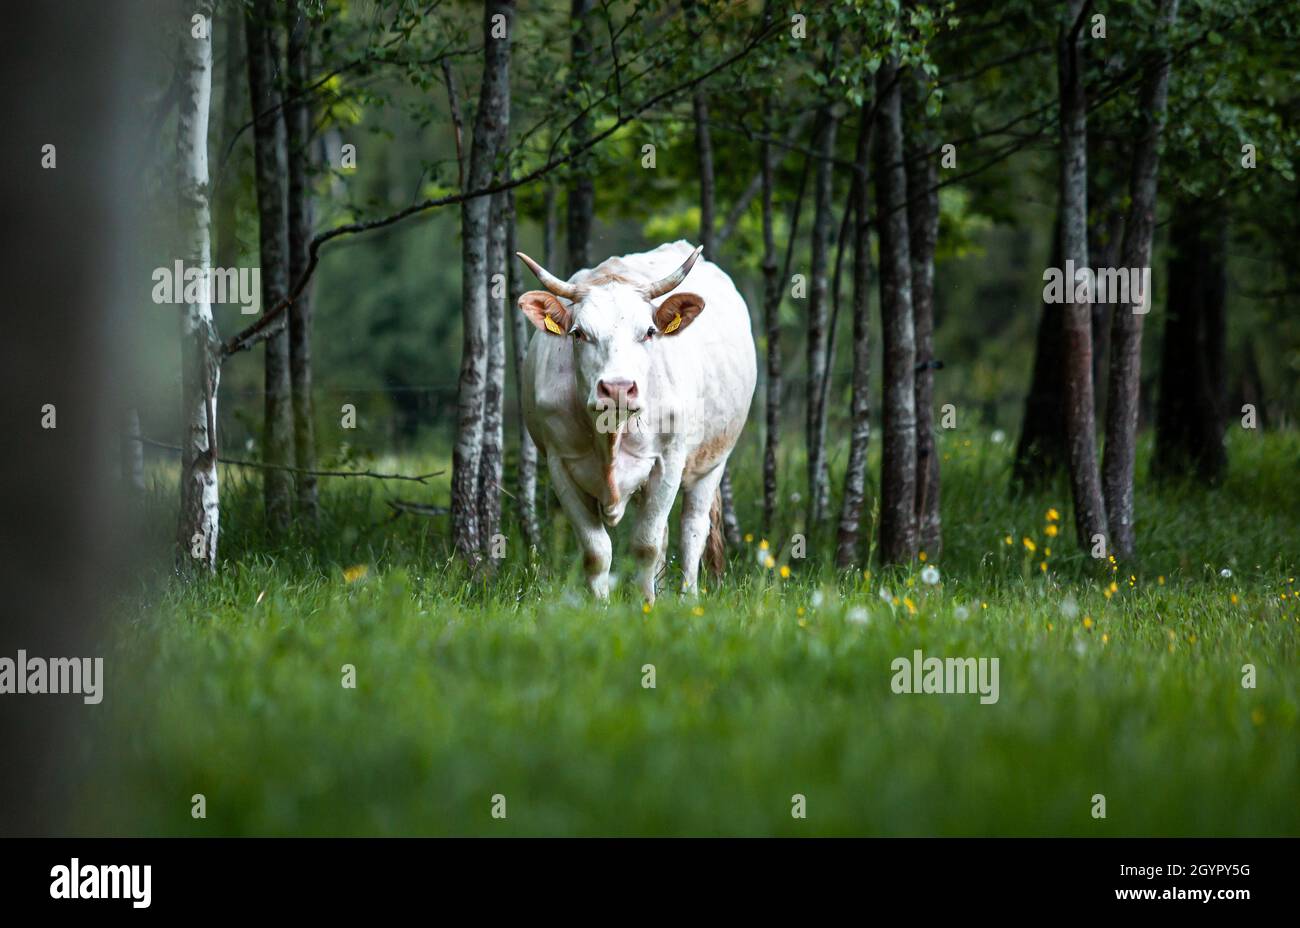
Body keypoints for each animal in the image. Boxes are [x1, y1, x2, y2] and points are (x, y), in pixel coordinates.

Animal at [515, 240, 757, 604]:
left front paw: (647, 606)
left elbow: (646, 545)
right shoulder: (560, 464)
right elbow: (597, 551)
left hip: (712, 462)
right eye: (578, 333)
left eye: (649, 331)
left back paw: (688, 598)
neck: (610, 438)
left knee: (692, 529)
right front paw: (601, 607)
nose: (617, 388)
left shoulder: (668, 460)